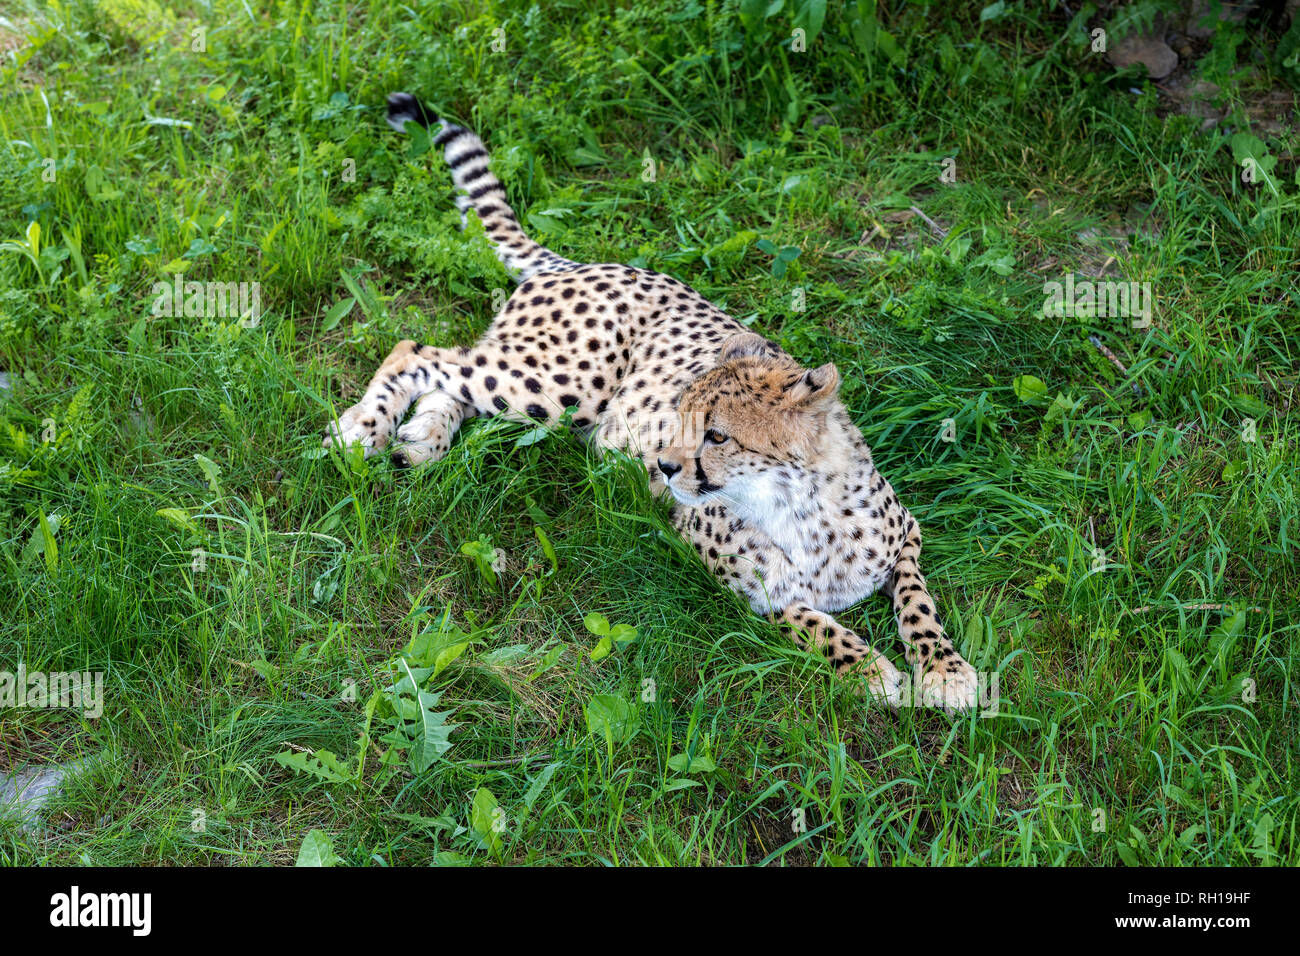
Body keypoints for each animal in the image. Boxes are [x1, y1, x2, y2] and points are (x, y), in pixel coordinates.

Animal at [324, 92, 980, 712]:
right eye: (679, 419)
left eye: (717, 434)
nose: (662, 466)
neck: (796, 508)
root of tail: (589, 263)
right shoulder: (748, 592)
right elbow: (817, 625)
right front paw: (871, 669)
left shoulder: (908, 535)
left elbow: (917, 601)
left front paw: (943, 670)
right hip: (560, 387)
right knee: (413, 350)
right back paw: (361, 430)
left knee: (451, 380)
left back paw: (419, 441)